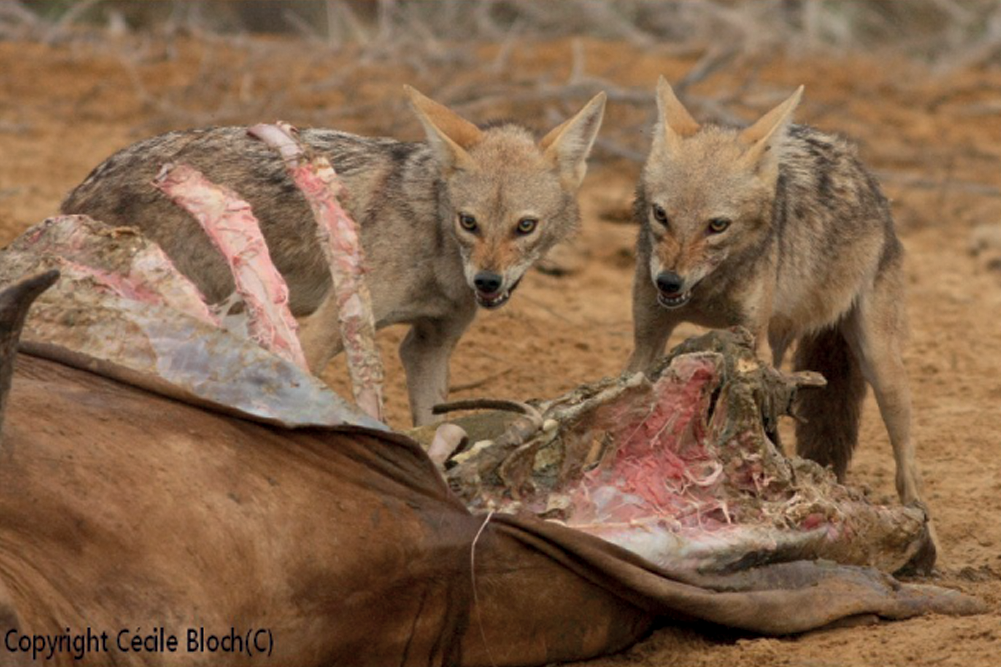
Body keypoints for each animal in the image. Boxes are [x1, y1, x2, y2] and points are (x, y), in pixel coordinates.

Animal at [61, 87, 606, 426]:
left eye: (525, 226)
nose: (488, 283)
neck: (435, 247)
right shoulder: (328, 327)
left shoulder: (429, 345)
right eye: (468, 222)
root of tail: (79, 188)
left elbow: (431, 428)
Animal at [627, 78, 927, 529]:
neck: (706, 292)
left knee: (907, 468)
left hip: (881, 367)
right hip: (785, 342)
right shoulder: (648, 340)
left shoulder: (752, 337)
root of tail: (863, 170)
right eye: (661, 214)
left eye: (717, 225)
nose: (668, 281)